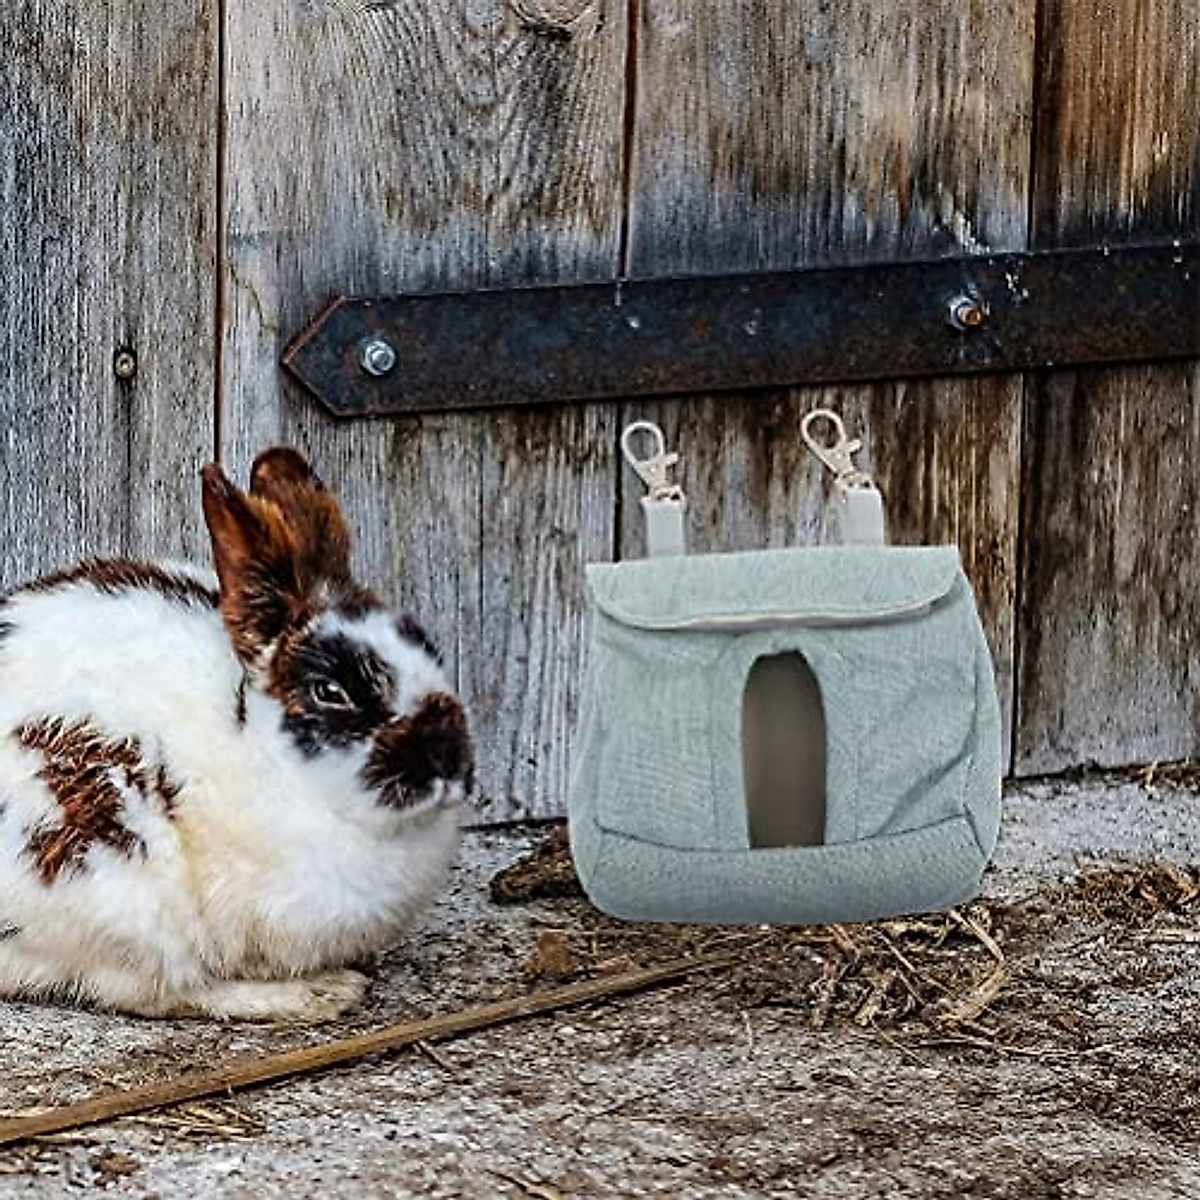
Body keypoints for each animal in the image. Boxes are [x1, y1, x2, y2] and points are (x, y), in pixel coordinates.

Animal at [0, 448, 472, 1021]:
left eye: (431, 650)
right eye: (330, 691)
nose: (447, 757)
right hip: (119, 882)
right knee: (169, 990)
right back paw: (320, 992)